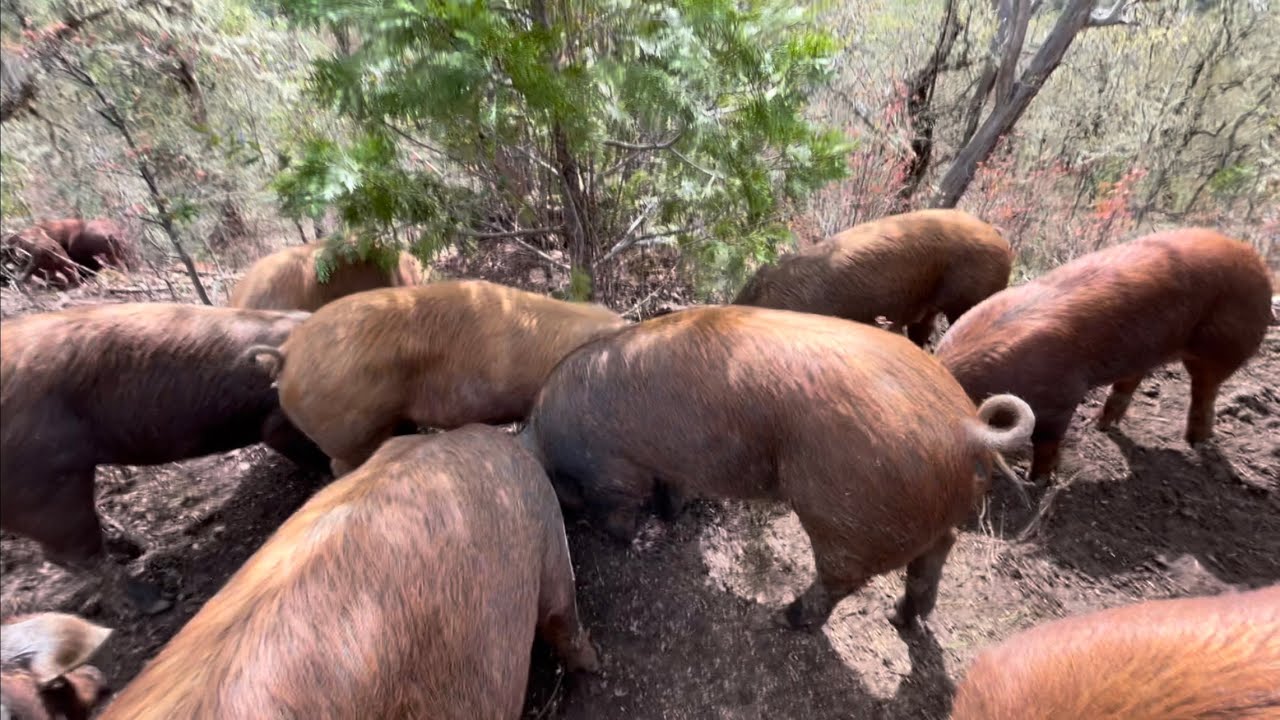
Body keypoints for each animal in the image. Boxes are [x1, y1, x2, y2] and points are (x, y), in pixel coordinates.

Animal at [519, 305, 1035, 631]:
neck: (547, 439)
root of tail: (966, 429)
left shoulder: (612, 472)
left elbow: (620, 515)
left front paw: (640, 540)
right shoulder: (670, 466)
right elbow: (672, 492)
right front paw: (669, 518)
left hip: (848, 515)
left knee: (838, 581)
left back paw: (779, 619)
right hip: (932, 514)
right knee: (935, 554)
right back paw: (901, 620)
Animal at [935, 228, 1272, 482]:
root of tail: (1256, 259)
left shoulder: (1062, 397)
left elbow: (1046, 441)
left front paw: (1038, 480)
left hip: (1225, 344)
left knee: (1206, 390)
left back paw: (1195, 443)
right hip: (1147, 346)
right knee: (1132, 380)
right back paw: (1101, 426)